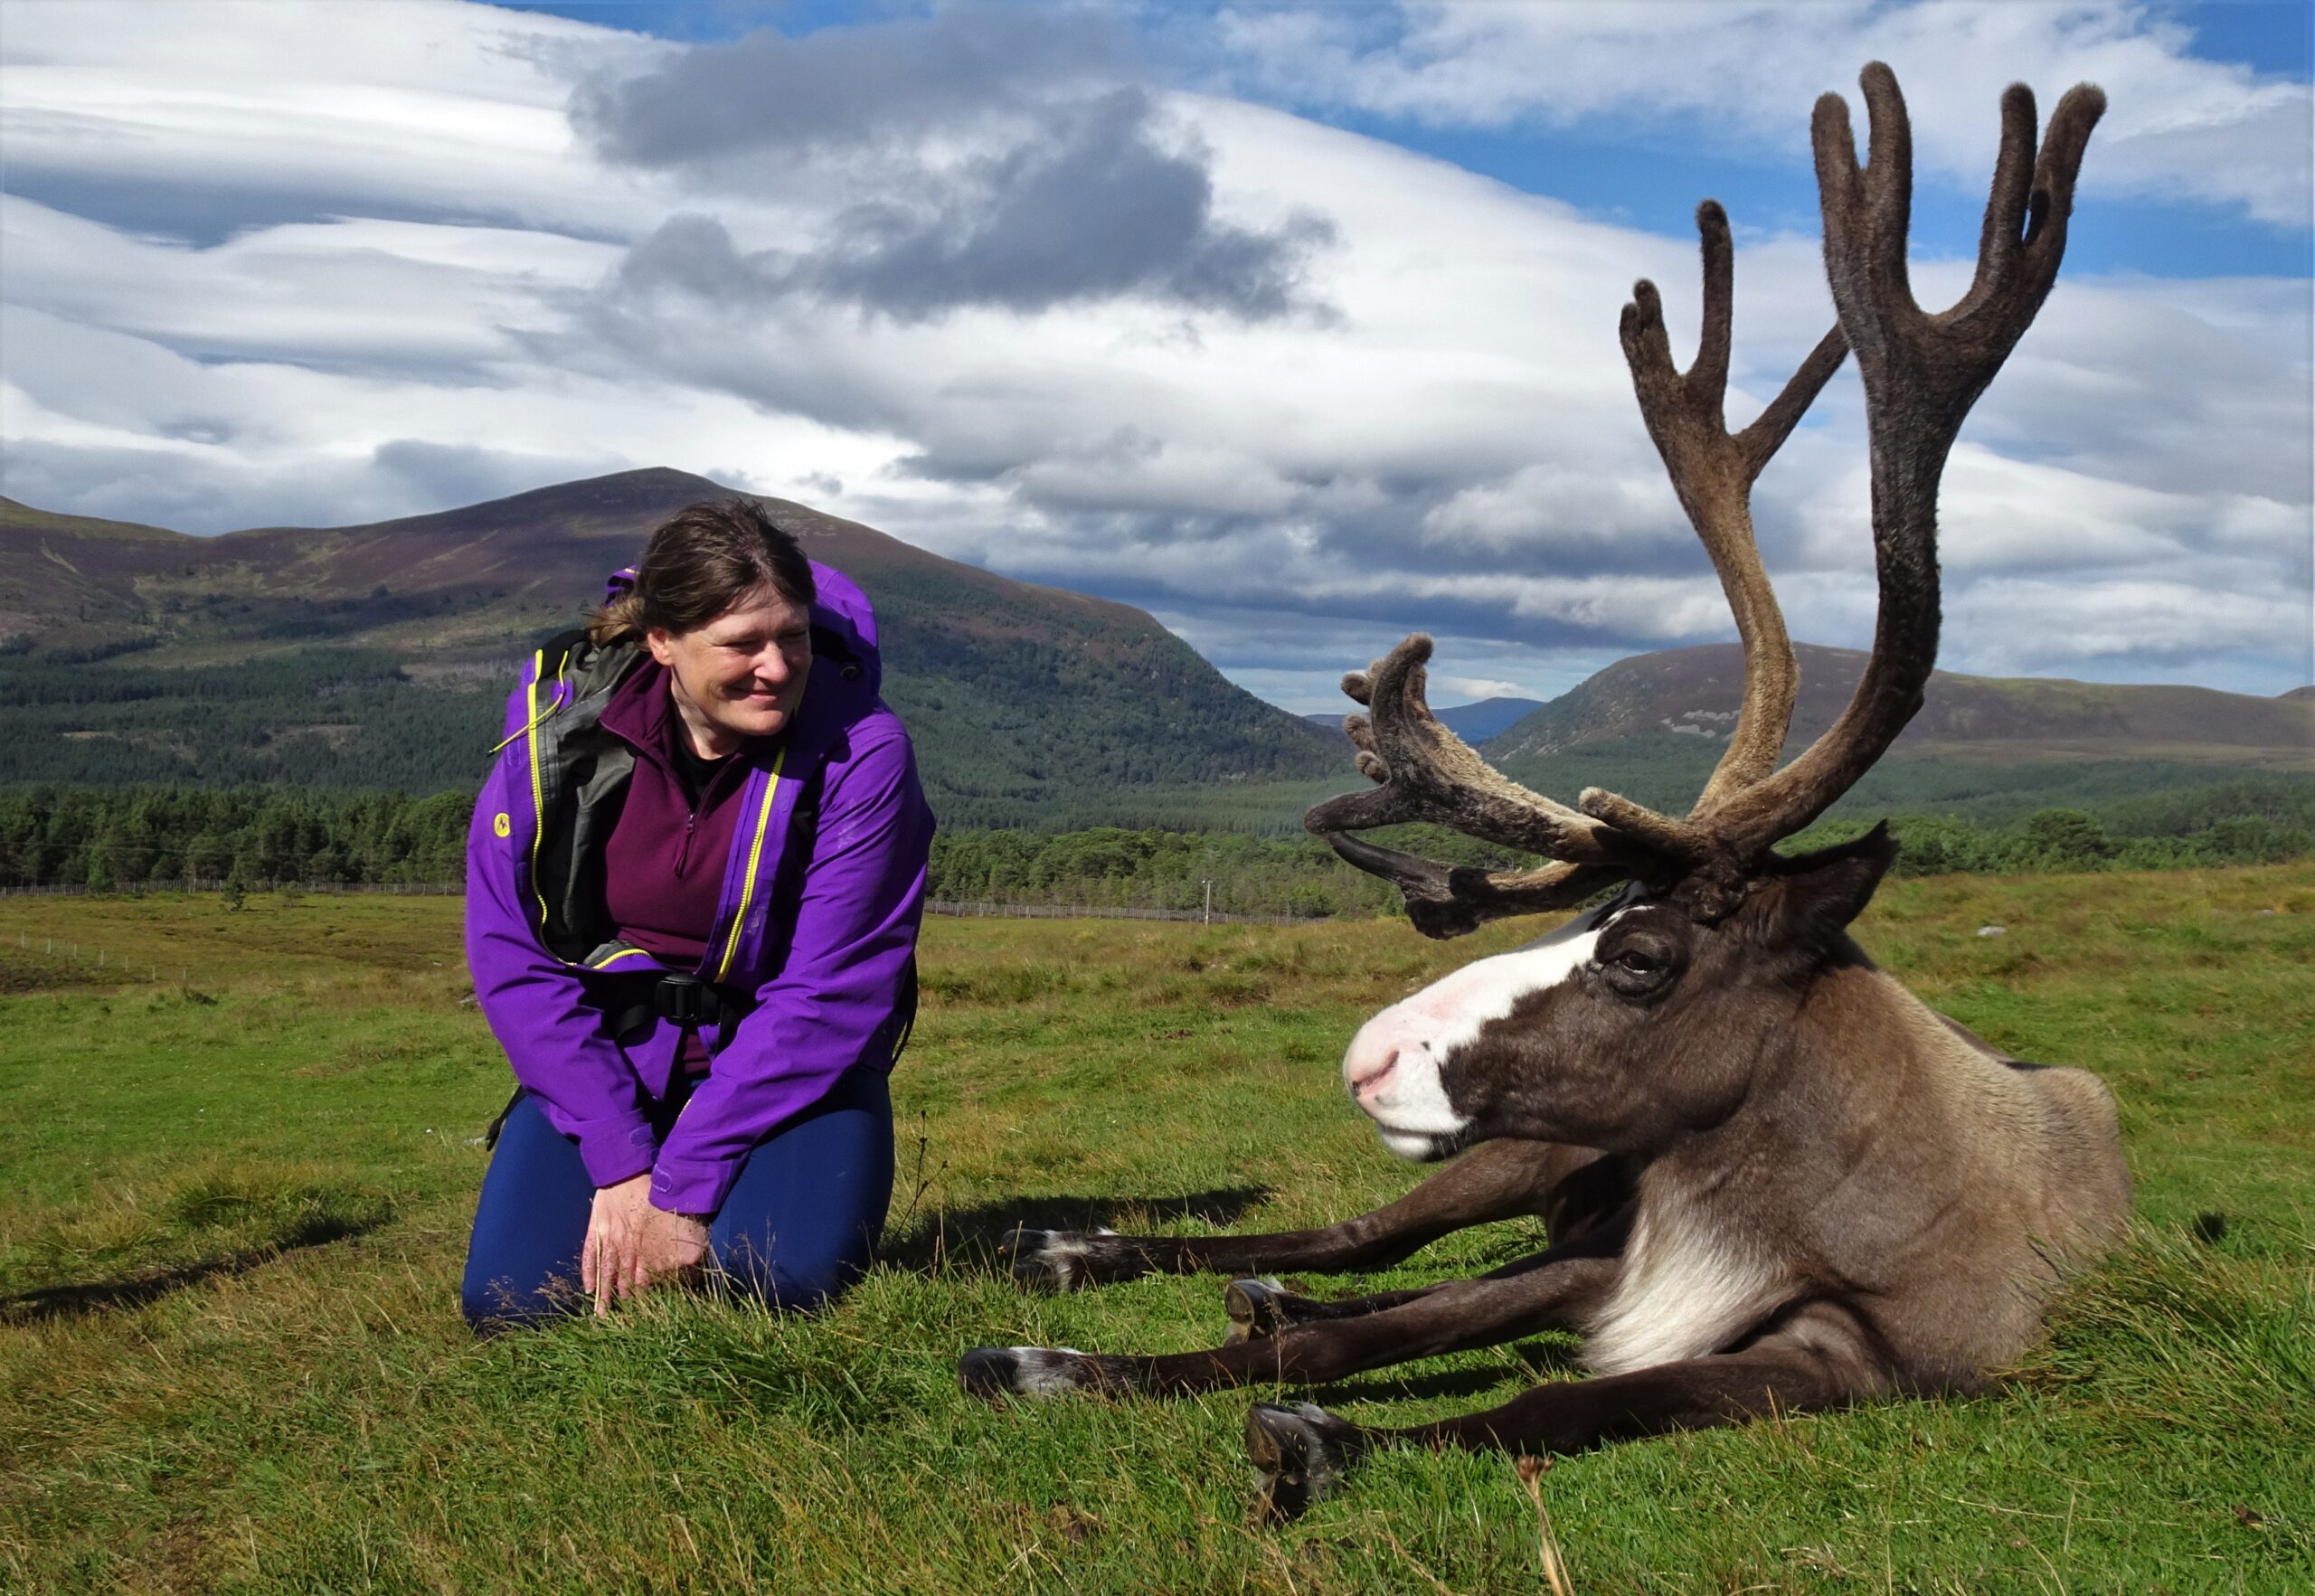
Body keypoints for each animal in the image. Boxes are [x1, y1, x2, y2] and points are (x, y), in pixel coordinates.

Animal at [957, 64, 2128, 1522]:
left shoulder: (1841, 1356)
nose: (1368, 1056)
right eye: (1590, 914)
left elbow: (1558, 1399)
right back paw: (1083, 1251)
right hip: (1515, 1160)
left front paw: (1329, 1440)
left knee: (1337, 1267)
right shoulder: (1595, 1258)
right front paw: (1060, 1364)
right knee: (1351, 1238)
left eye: (1640, 954)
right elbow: (1363, 1331)